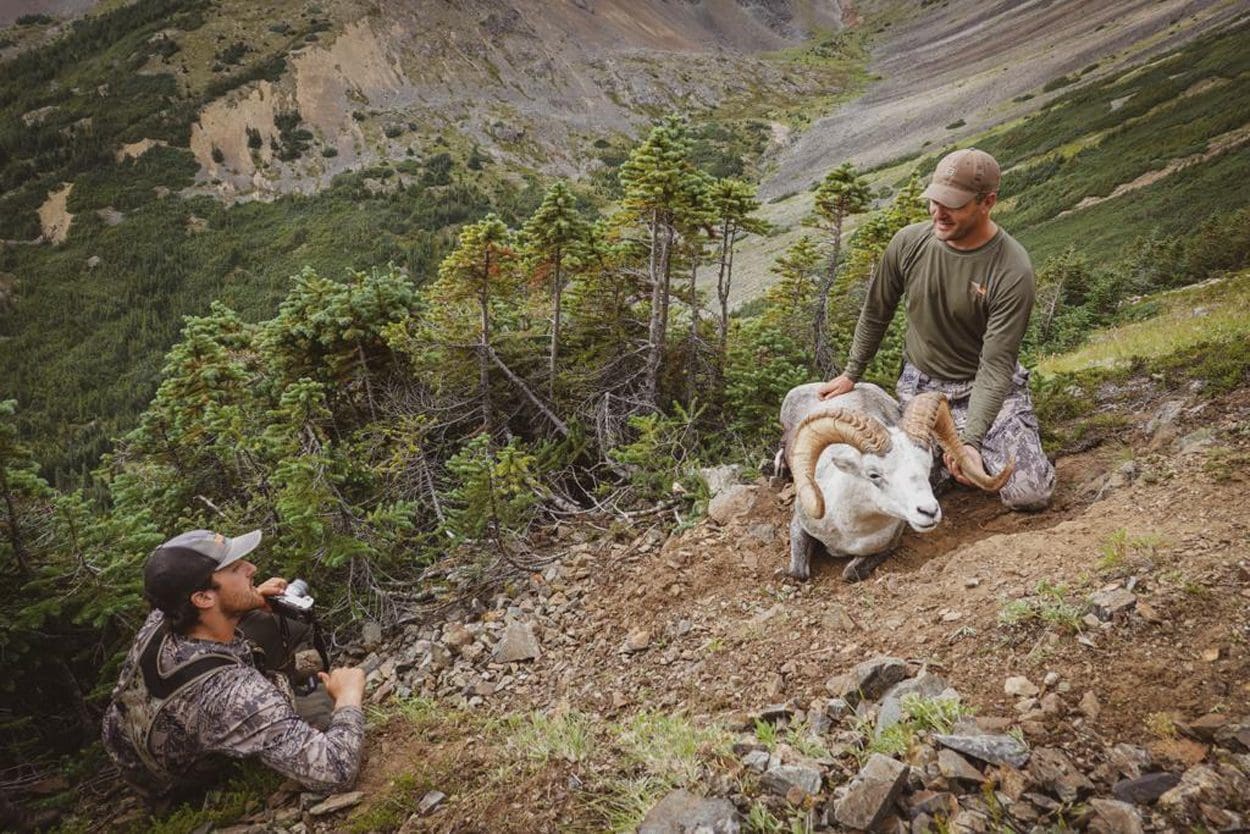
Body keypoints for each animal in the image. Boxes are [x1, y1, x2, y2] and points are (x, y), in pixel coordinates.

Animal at [779, 382, 1013, 582]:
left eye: (927, 465)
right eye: (874, 474)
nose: (928, 511)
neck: (850, 531)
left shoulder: (888, 545)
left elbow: (851, 573)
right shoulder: (800, 524)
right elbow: (798, 573)